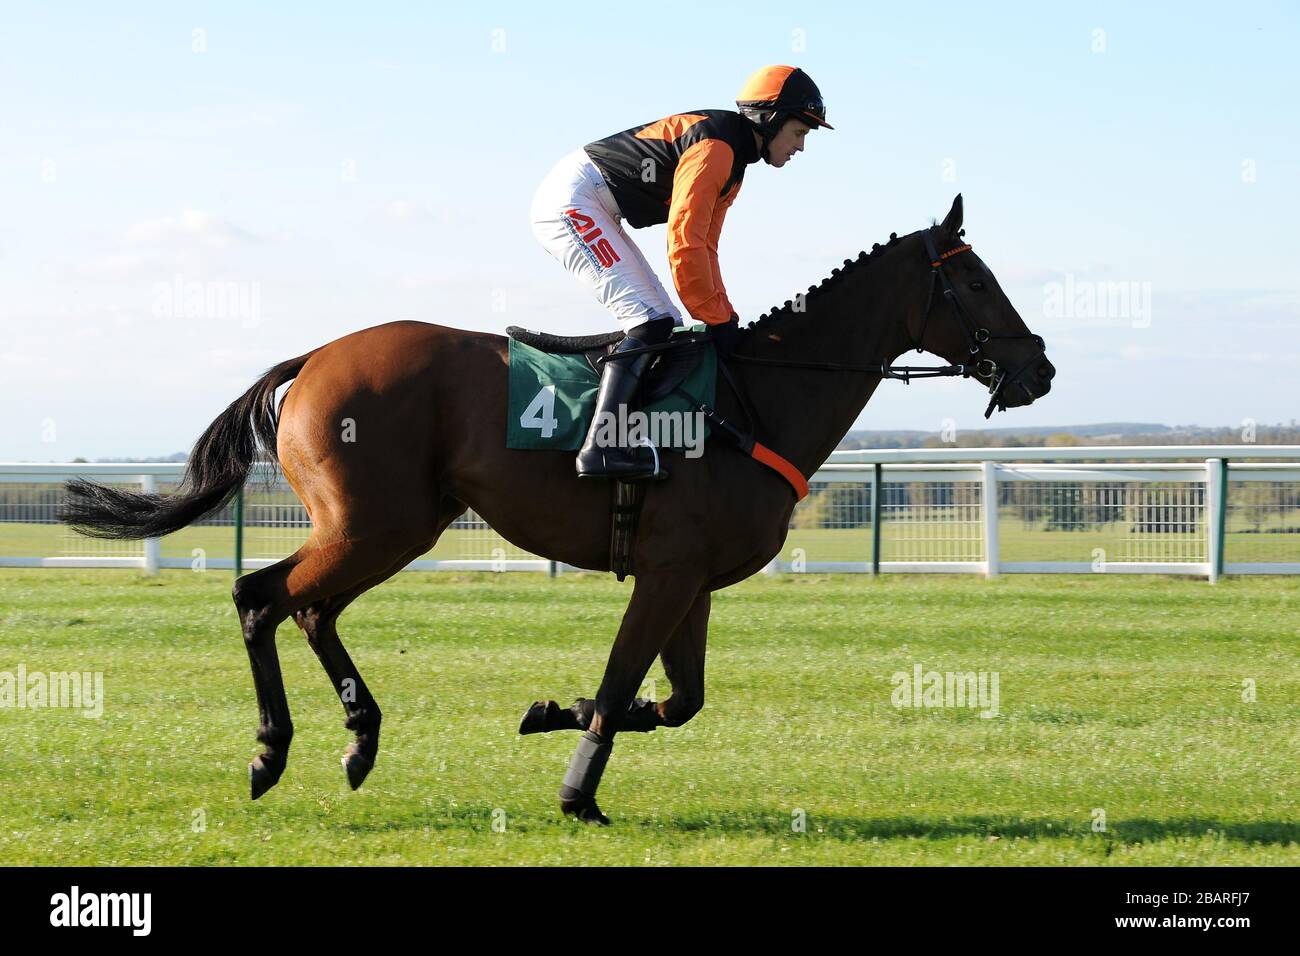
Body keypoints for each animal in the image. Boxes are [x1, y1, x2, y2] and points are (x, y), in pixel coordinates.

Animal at [62, 195, 1054, 824]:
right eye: (978, 283)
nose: (1038, 366)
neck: (758, 397)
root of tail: (313, 357)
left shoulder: (692, 581)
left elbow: (677, 700)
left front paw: (549, 709)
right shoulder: (665, 572)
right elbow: (623, 687)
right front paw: (579, 792)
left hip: (391, 528)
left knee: (308, 608)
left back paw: (359, 737)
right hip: (375, 525)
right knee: (262, 597)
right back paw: (274, 751)